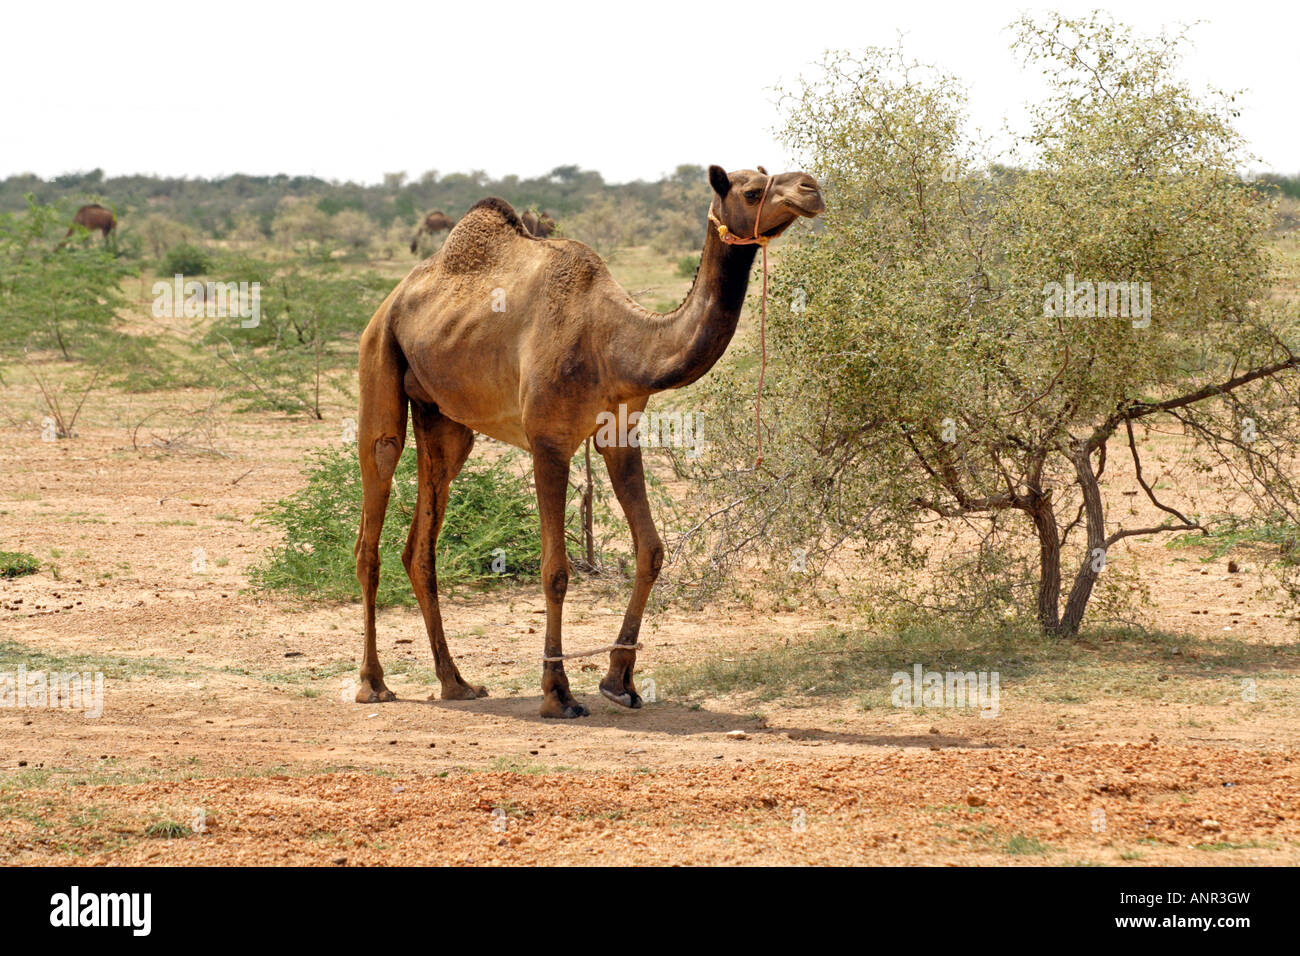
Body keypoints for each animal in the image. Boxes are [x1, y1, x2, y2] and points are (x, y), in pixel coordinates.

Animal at [354, 164, 823, 717]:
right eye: (752, 190)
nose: (811, 188)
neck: (616, 344)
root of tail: (393, 298)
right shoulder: (548, 441)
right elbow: (556, 569)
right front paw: (558, 693)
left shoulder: (621, 434)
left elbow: (651, 550)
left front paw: (619, 681)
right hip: (378, 359)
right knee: (374, 504)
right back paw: (373, 683)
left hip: (443, 418)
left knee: (421, 542)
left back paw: (456, 683)